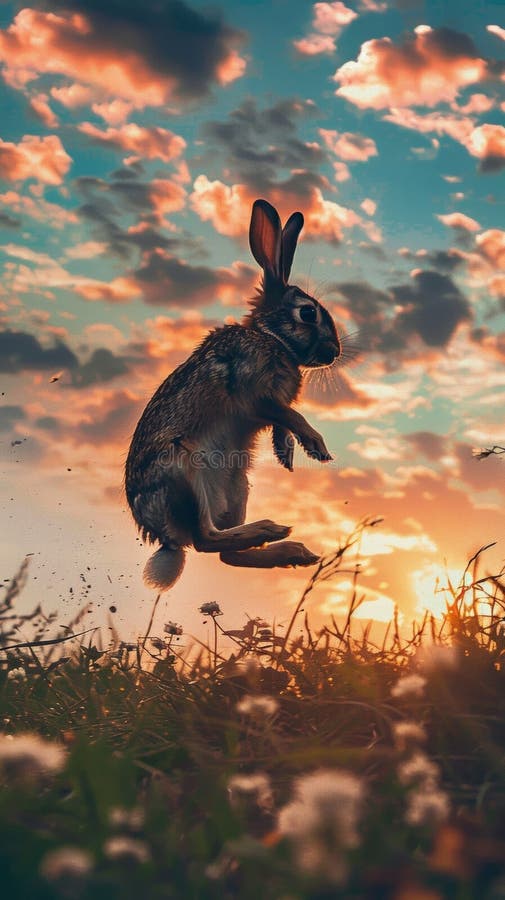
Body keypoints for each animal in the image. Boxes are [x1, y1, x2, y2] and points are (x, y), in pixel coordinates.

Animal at [125, 199, 341, 591]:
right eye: (307, 313)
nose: (334, 353)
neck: (272, 338)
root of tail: (163, 534)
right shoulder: (255, 392)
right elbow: (290, 415)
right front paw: (315, 446)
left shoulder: (269, 407)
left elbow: (283, 422)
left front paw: (286, 453)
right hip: (183, 470)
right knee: (206, 541)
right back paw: (271, 529)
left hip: (238, 485)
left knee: (228, 555)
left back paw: (294, 550)